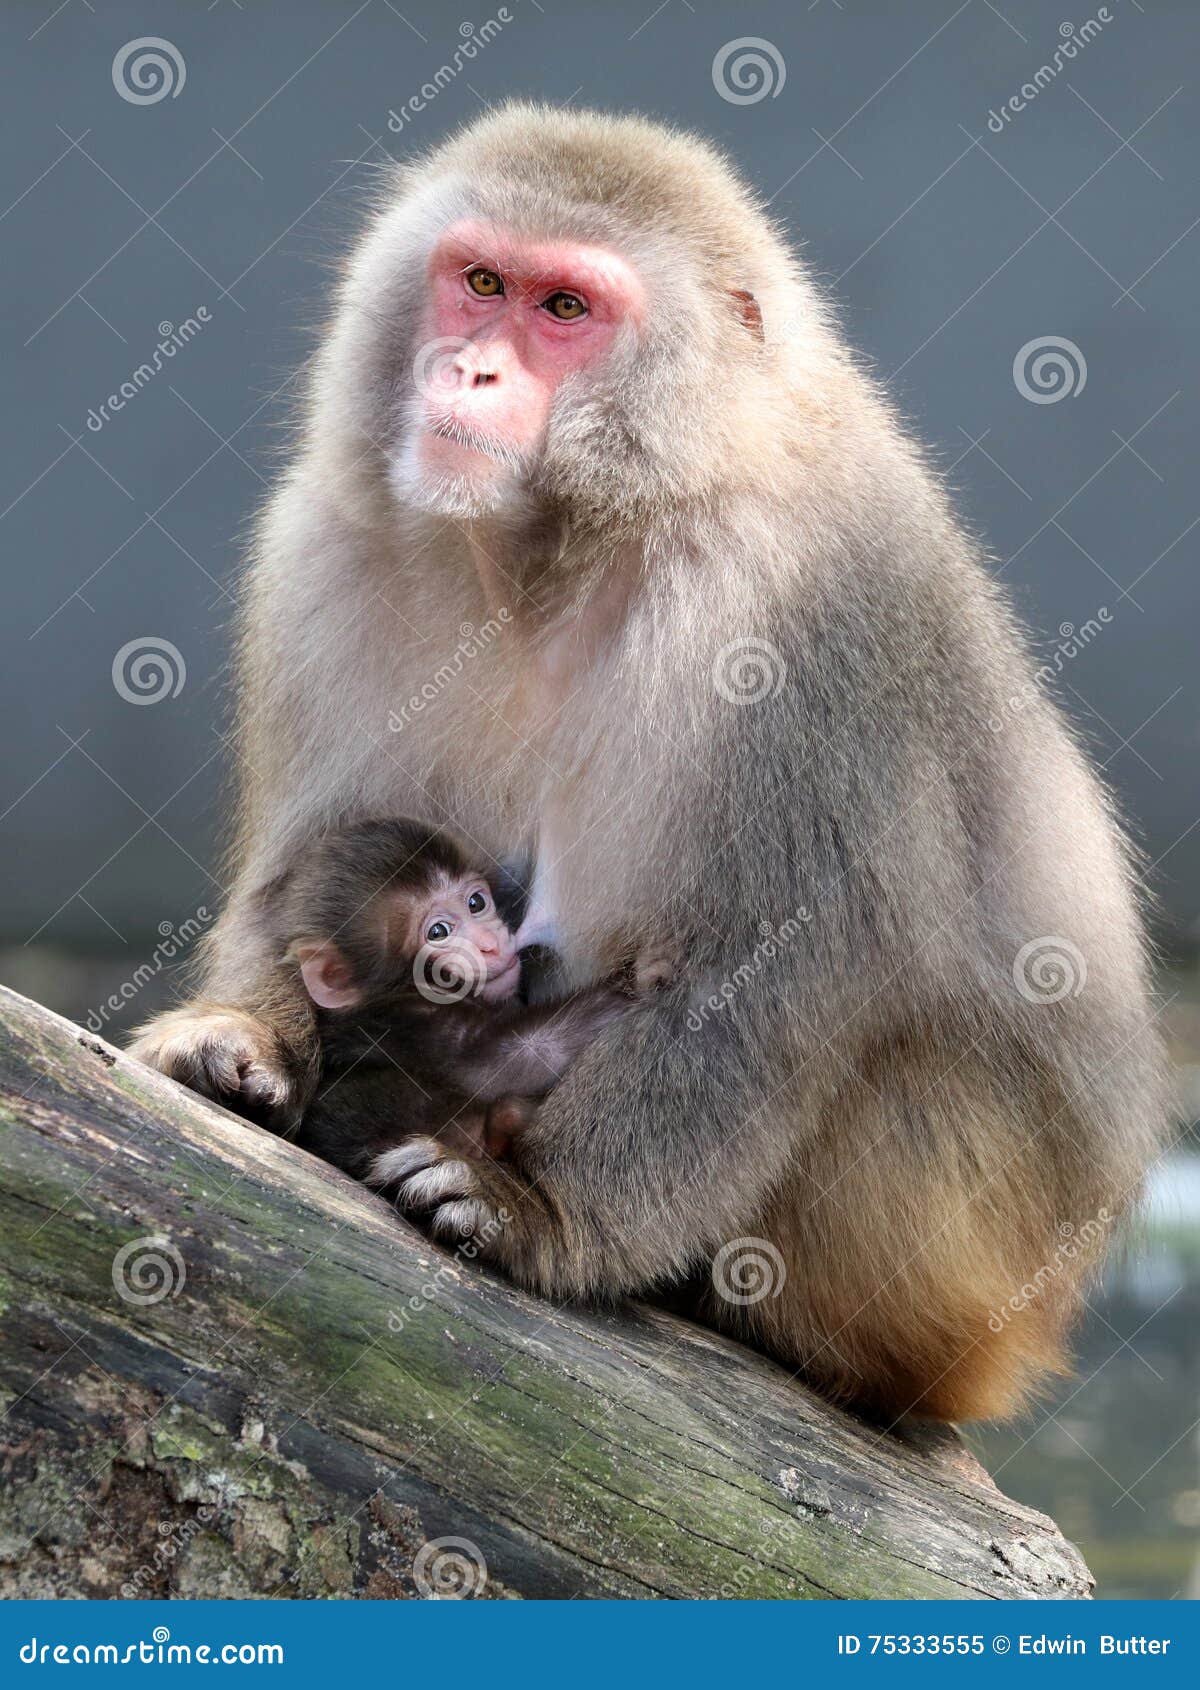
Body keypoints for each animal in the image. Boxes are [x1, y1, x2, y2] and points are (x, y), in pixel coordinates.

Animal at [272, 817, 634, 1184]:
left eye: (476, 903)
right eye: (438, 932)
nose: (490, 943)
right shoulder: (407, 1022)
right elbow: (503, 1059)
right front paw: (633, 983)